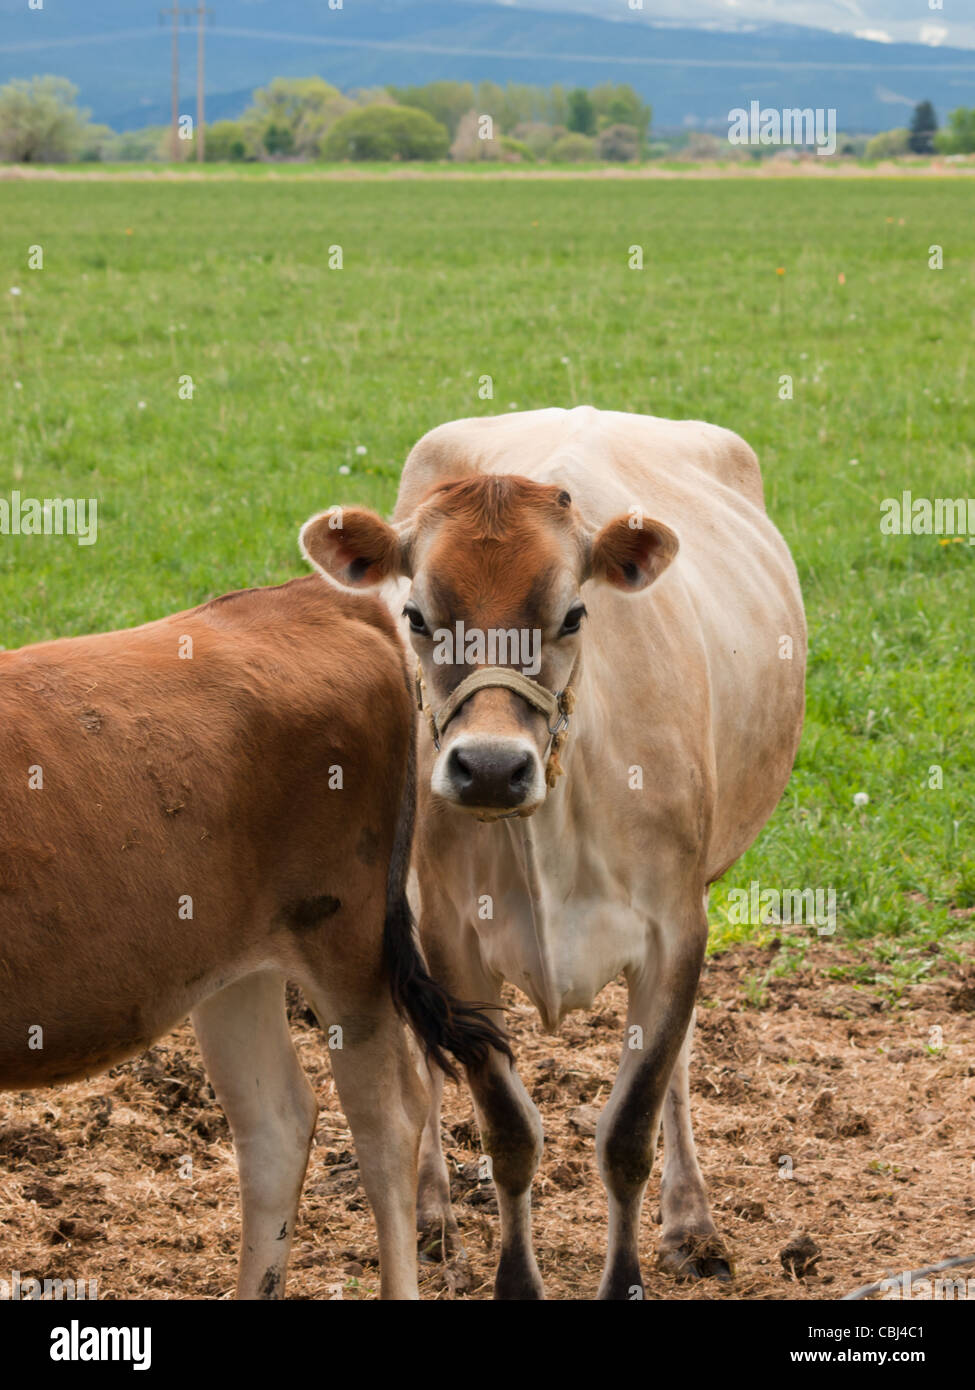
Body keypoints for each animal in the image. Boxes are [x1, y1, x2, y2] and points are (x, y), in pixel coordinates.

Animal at [300, 405, 806, 1299]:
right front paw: (513, 1279)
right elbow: (506, 1129)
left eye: (572, 614)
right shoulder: (455, 941)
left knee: (676, 1070)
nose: (489, 767)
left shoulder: (676, 929)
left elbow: (629, 1129)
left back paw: (692, 1223)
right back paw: (430, 1209)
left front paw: (629, 1273)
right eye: (417, 616)